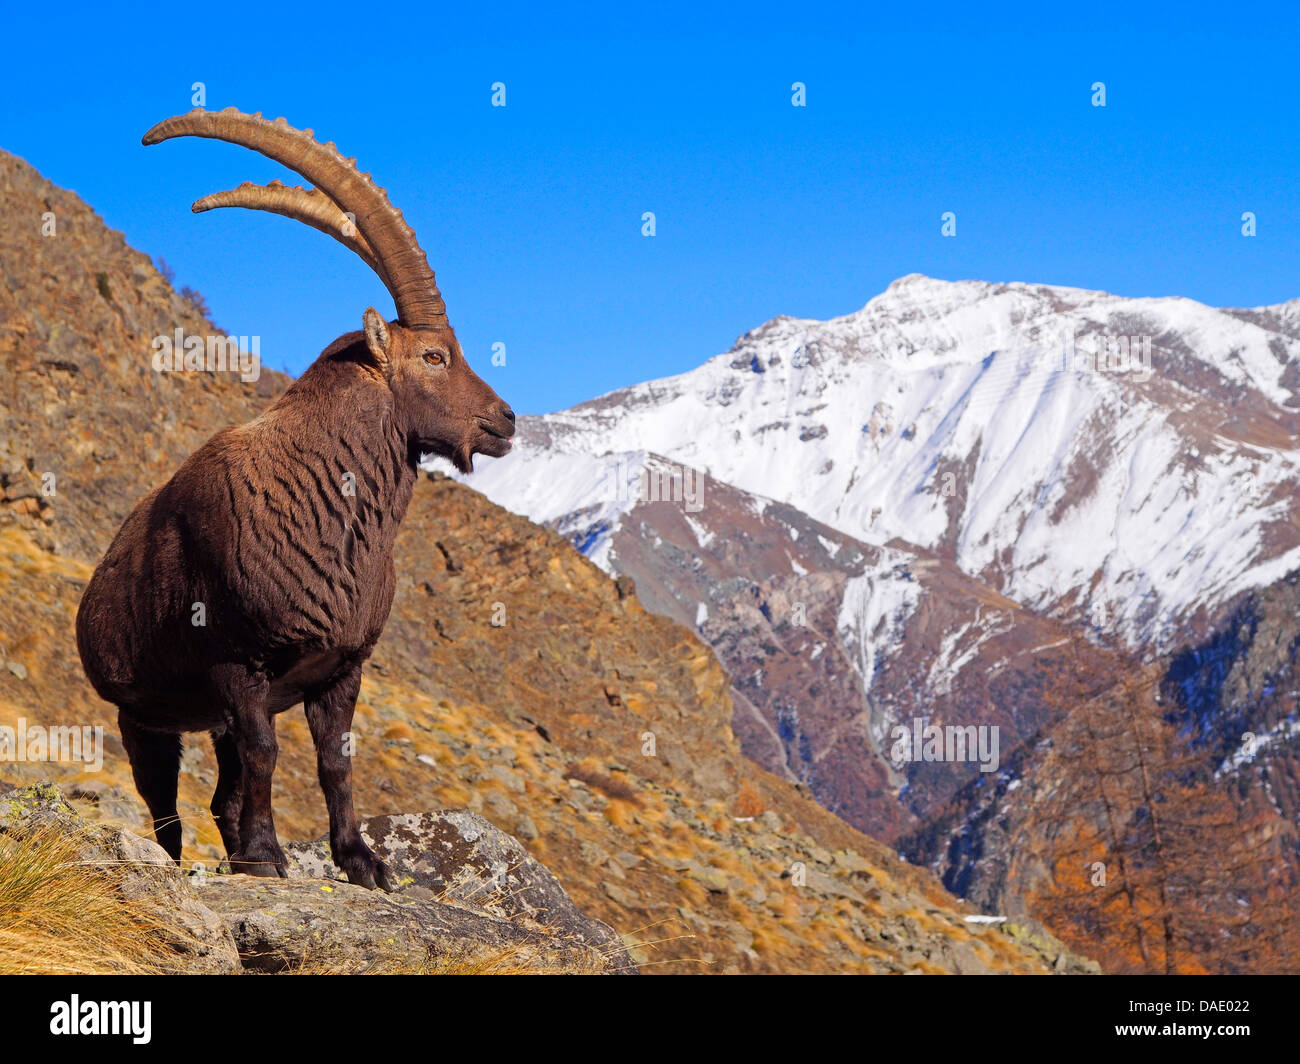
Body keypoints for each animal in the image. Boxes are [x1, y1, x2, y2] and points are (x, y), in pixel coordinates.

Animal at [76, 109, 515, 890]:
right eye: (435, 356)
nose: (506, 420)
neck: (327, 505)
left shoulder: (339, 668)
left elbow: (333, 762)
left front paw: (362, 861)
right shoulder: (237, 663)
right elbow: (266, 755)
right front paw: (264, 858)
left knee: (219, 794)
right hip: (144, 714)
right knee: (168, 807)